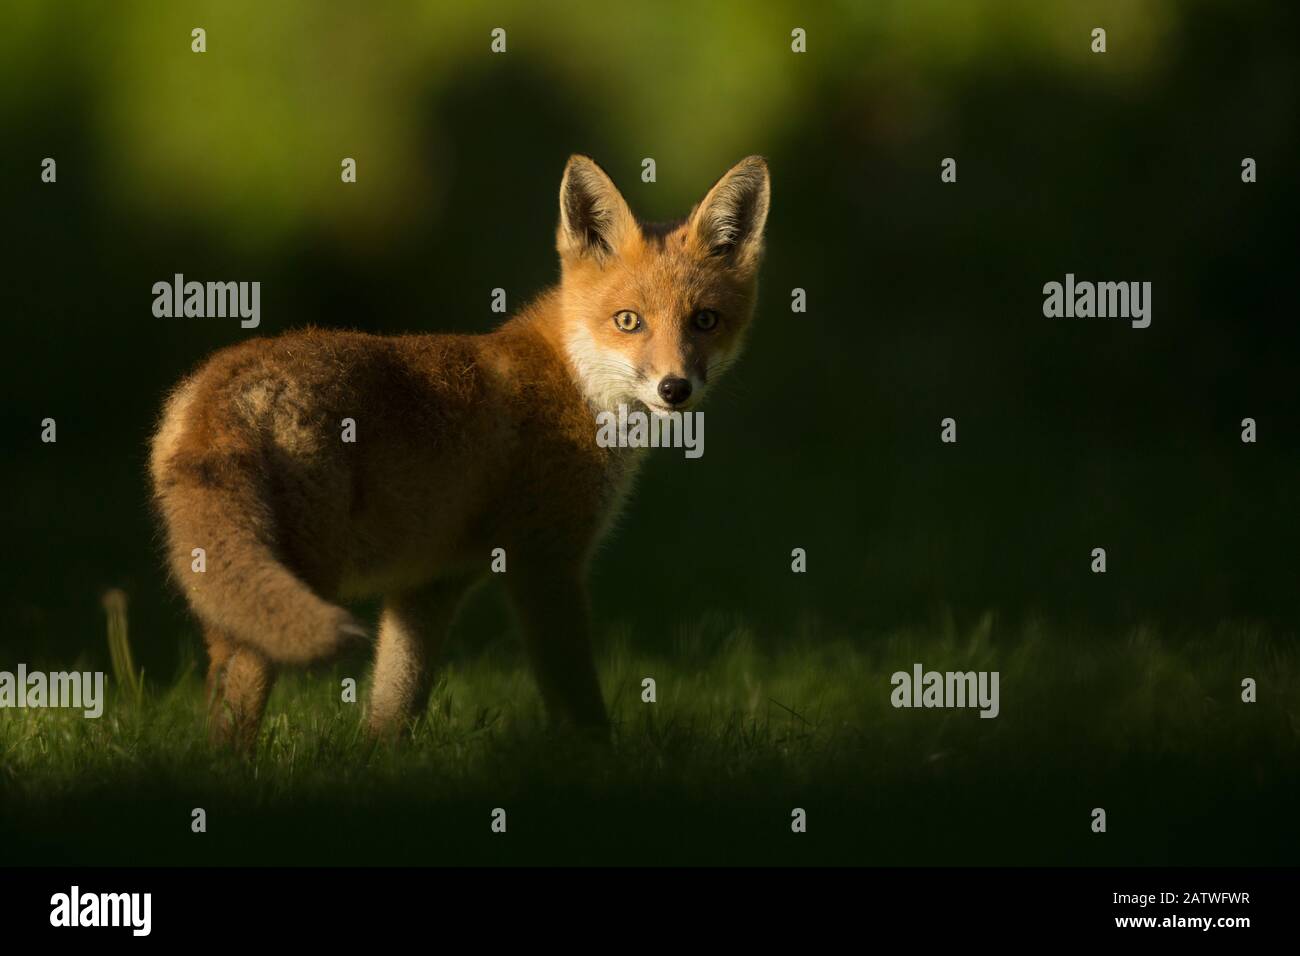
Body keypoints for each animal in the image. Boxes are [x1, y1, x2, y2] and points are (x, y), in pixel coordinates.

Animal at [149, 154, 771, 749]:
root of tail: (216, 389)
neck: (573, 380)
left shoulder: (429, 585)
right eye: (628, 321)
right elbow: (577, 699)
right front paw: (599, 757)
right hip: (304, 570)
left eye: (705, 321)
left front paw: (379, 760)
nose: (675, 388)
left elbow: (395, 704)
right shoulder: (544, 563)